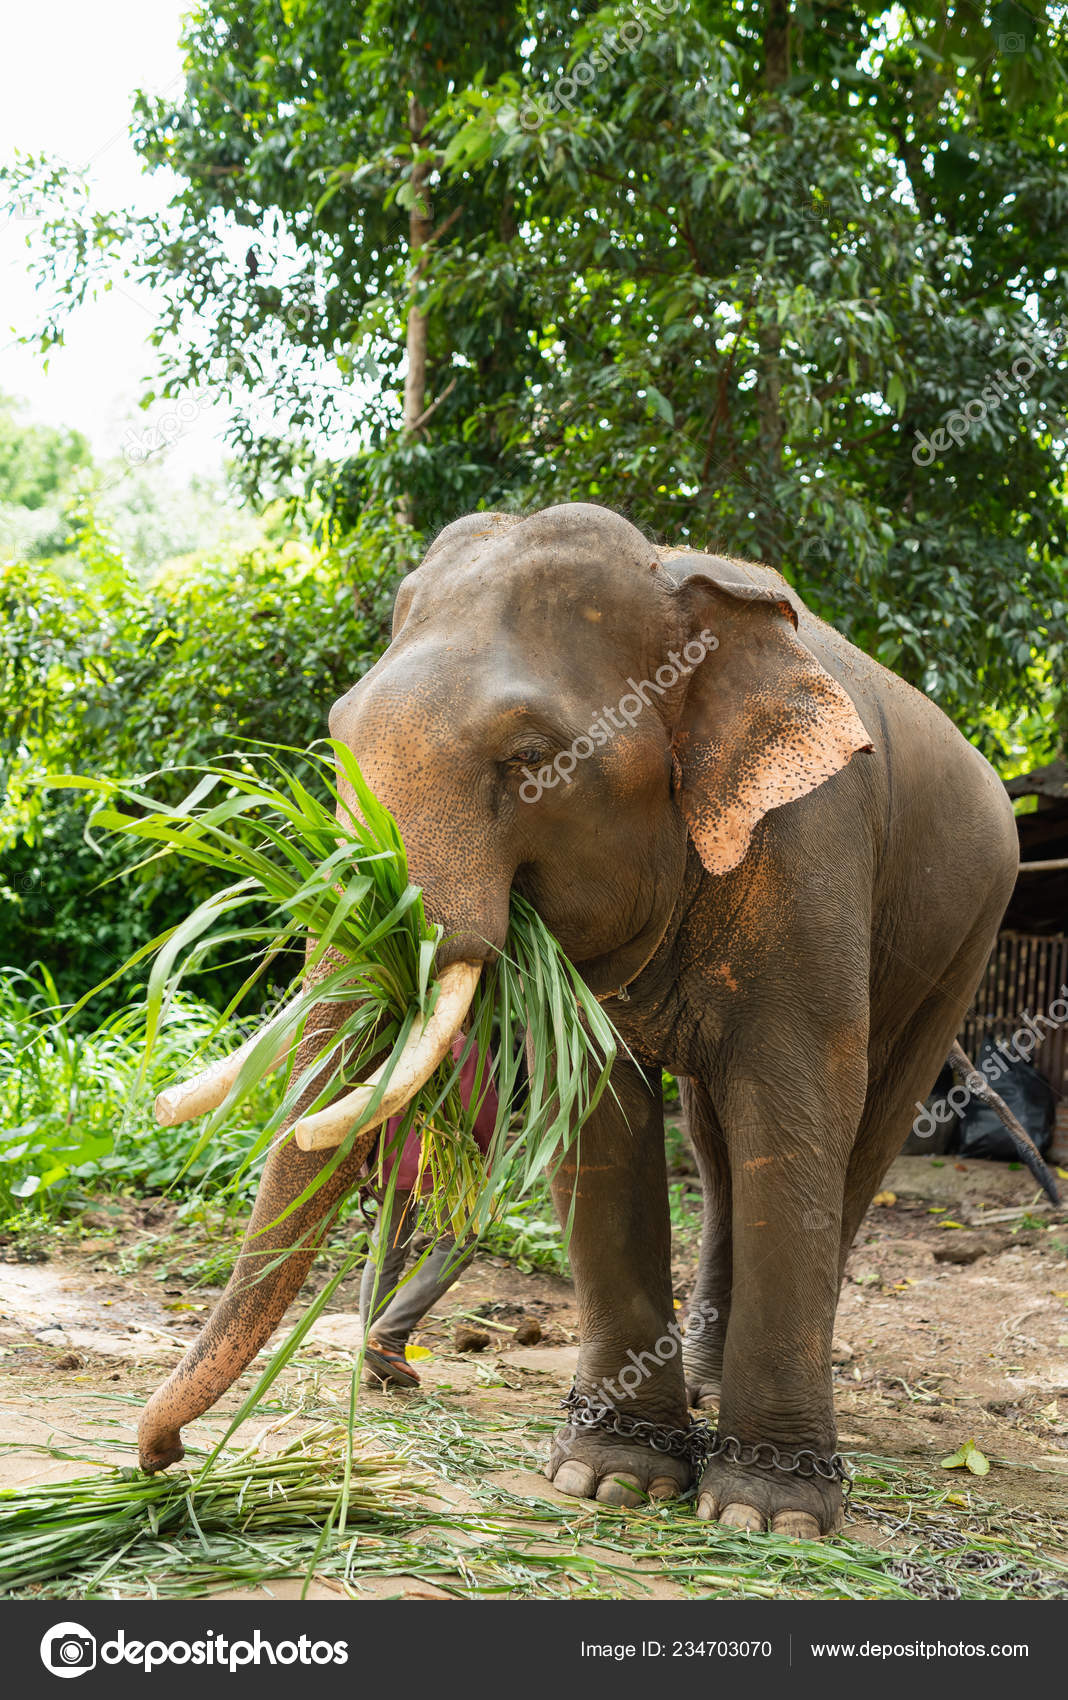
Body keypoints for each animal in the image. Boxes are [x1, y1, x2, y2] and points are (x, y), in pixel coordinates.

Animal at [137, 502, 1018, 1538]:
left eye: (529, 759)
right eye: (336, 735)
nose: (163, 1459)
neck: (678, 588)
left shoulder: (811, 846)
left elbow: (795, 1107)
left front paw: (767, 1515)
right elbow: (601, 1111)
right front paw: (612, 1481)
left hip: (968, 928)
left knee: (869, 1127)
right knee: (714, 1147)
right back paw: (703, 1385)